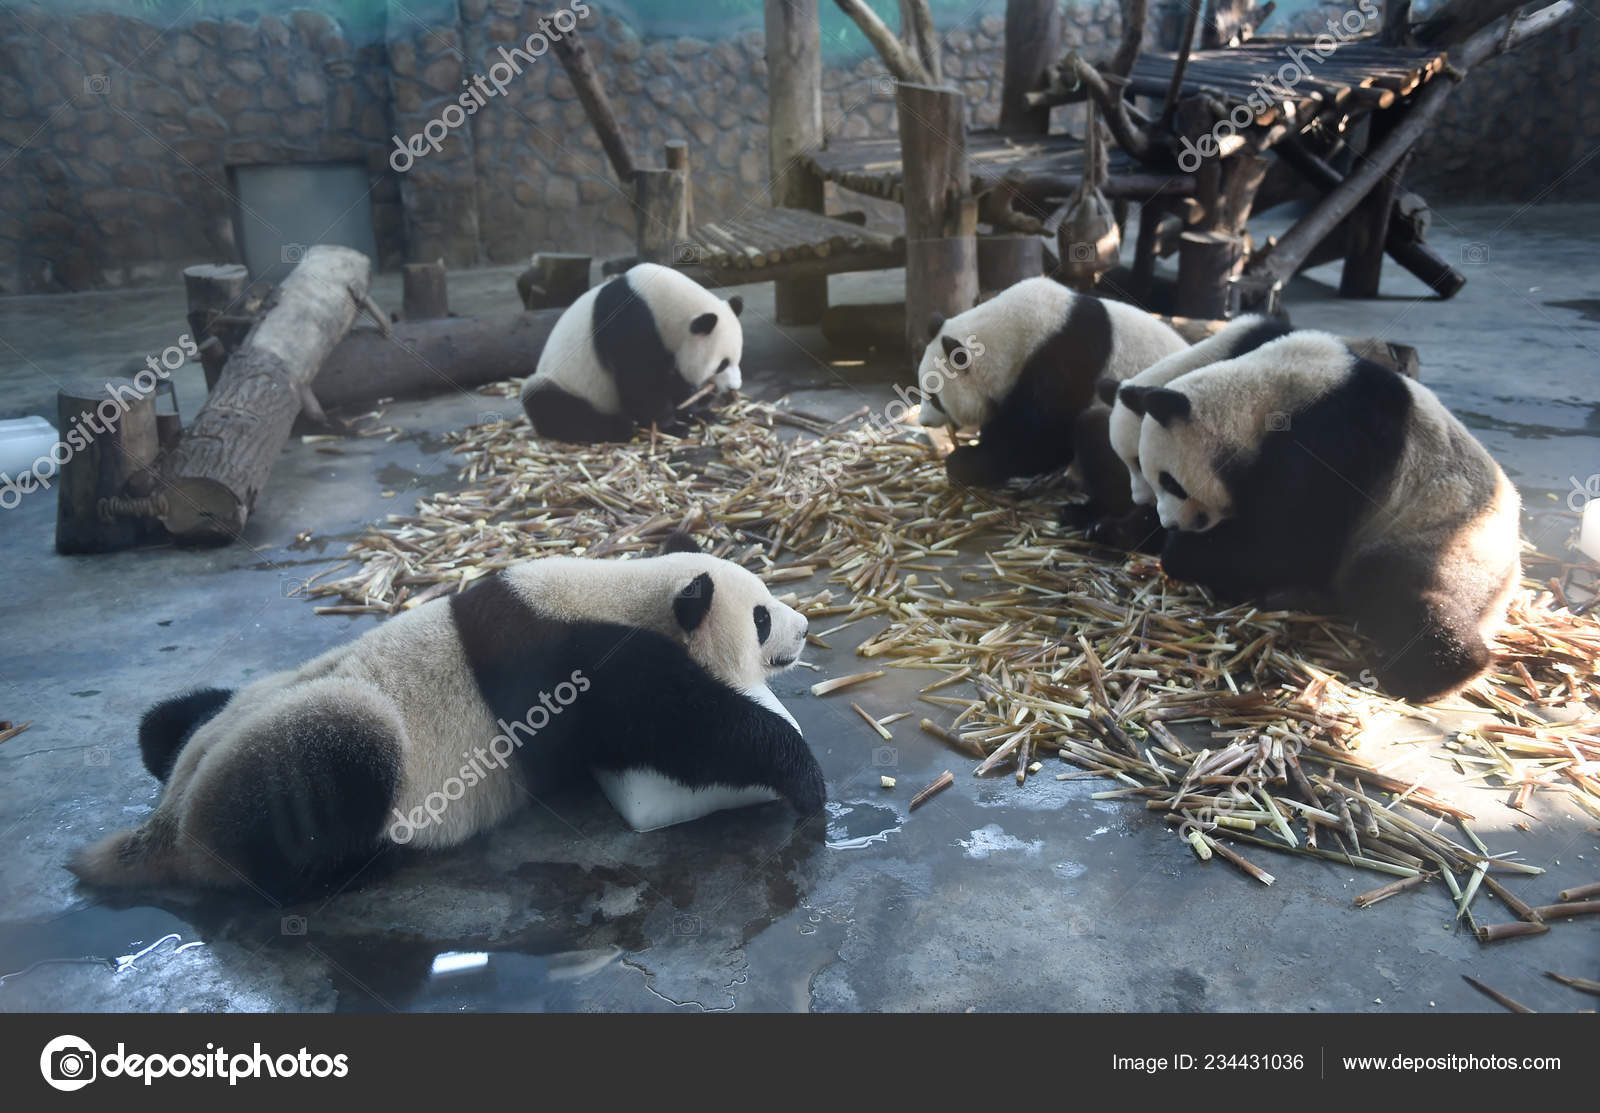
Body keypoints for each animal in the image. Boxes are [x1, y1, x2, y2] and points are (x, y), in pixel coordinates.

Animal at [69, 535, 824, 896]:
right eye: (760, 616)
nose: (806, 626)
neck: (622, 590)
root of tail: (167, 824)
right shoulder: (576, 670)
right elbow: (684, 727)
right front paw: (802, 775)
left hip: (240, 705)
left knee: (168, 722)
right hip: (310, 751)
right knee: (338, 759)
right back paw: (349, 868)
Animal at [521, 262, 745, 443]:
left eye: (737, 359)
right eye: (722, 364)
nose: (734, 386)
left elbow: (676, 384)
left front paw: (701, 413)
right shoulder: (629, 324)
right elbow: (641, 381)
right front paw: (672, 427)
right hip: (564, 382)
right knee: (552, 405)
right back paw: (619, 428)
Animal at [1134, 329, 1521, 702]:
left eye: (1170, 482)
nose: (1170, 523)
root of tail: (1507, 587)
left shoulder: (1335, 444)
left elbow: (1288, 545)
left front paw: (1183, 552)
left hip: (1444, 540)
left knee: (1398, 592)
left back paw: (1431, 674)